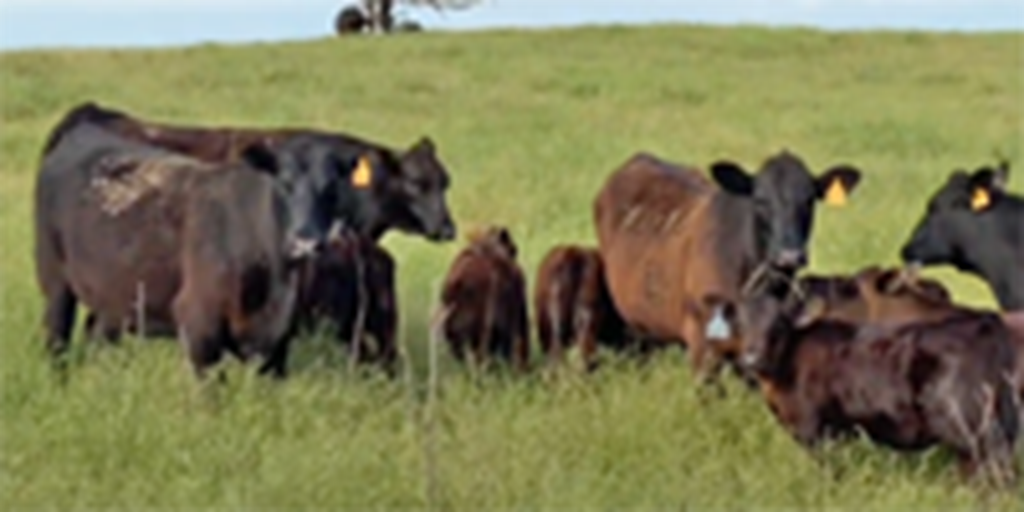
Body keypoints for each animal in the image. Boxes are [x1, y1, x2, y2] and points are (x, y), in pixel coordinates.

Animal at [34, 123, 344, 378]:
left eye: (331, 188)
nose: (307, 241)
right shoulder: (199, 324)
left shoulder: (276, 344)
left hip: (114, 295)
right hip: (56, 283)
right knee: (56, 339)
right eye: (284, 183)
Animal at [733, 286, 1020, 488]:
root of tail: (984, 322)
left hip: (974, 429)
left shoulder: (813, 428)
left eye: (779, 325)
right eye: (741, 325)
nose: (752, 358)